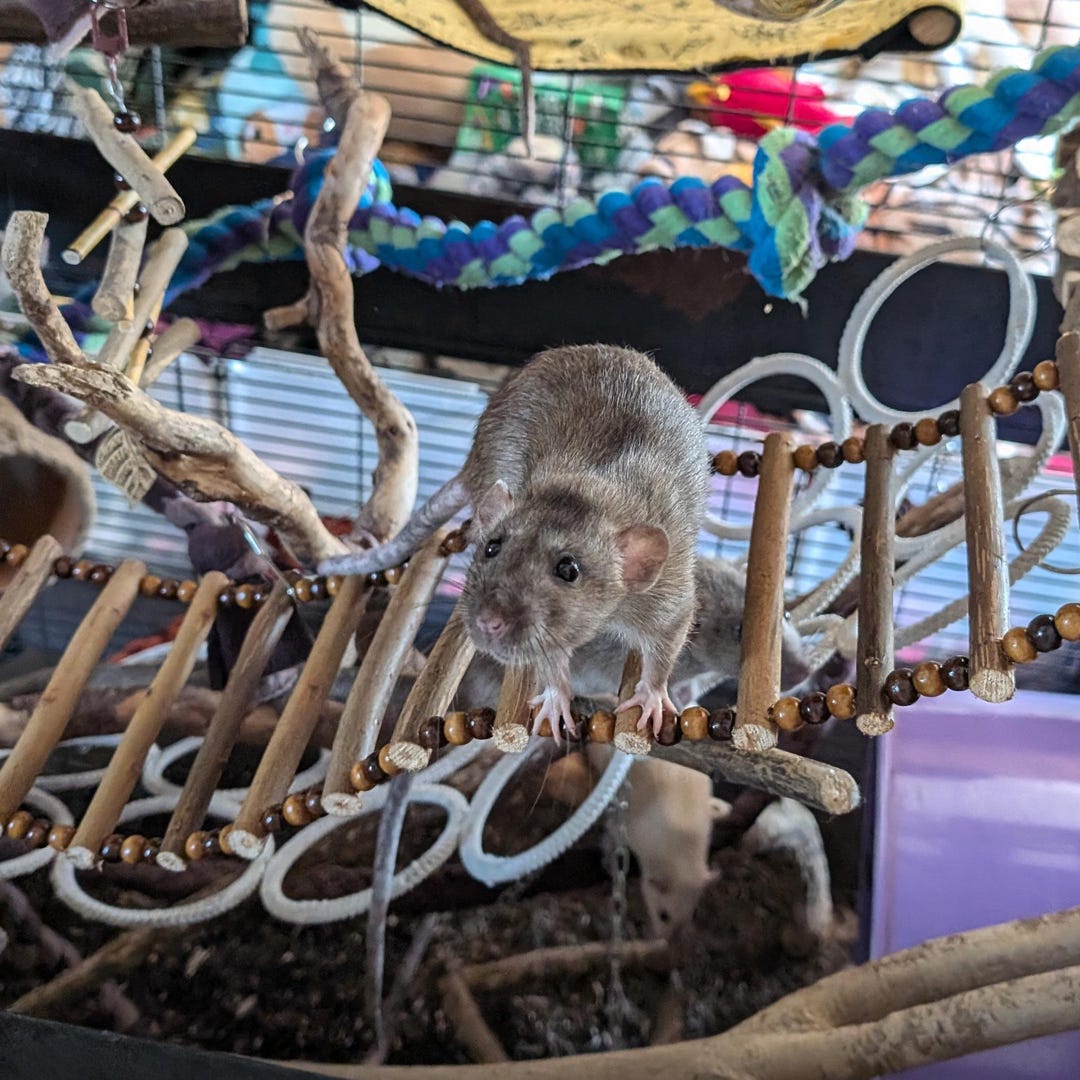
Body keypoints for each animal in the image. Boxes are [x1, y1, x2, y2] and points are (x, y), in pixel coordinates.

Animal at [321, 345, 710, 739]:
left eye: (569, 569)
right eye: (492, 547)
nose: (488, 623)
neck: (590, 487)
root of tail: (473, 464)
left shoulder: (664, 590)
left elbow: (669, 636)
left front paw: (651, 694)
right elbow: (549, 655)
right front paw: (556, 695)